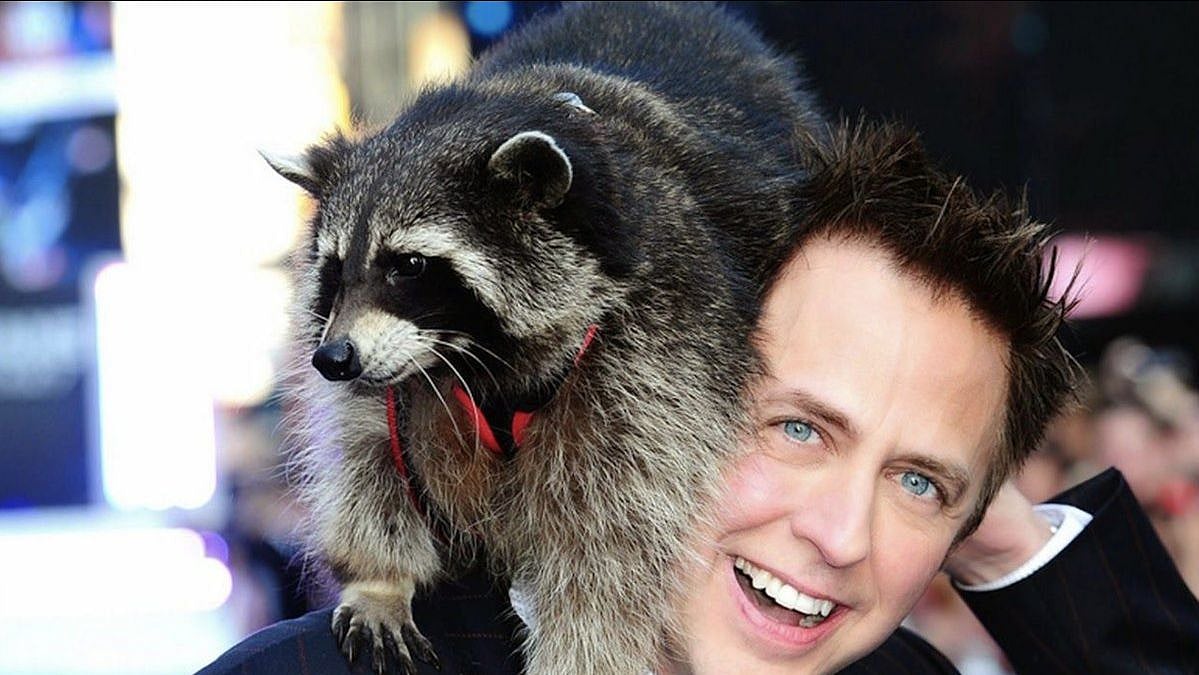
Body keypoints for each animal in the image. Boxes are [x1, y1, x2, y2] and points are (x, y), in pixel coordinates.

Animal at [266, 2, 818, 673]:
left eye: (409, 265)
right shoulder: (387, 368)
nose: (332, 359)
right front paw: (378, 576)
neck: (476, 355)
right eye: (335, 267)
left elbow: (610, 544)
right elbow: (365, 448)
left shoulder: (662, 348)